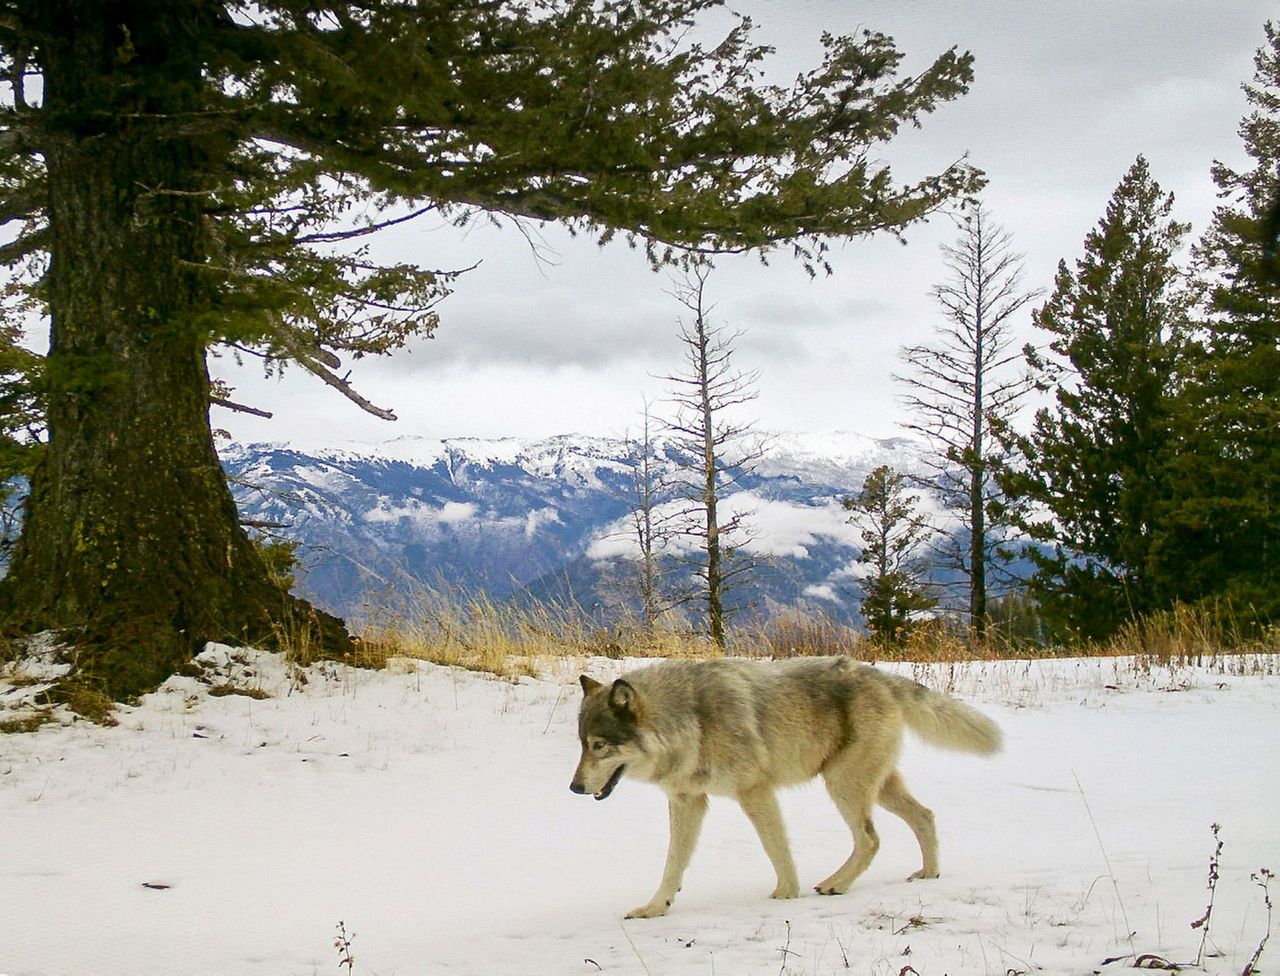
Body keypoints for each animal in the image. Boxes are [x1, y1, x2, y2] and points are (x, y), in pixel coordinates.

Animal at [569, 656, 1001, 918]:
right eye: (582, 745)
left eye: (600, 746)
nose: (573, 788)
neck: (691, 720)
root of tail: (878, 674)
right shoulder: (687, 800)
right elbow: (673, 862)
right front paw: (655, 908)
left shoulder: (755, 791)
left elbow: (775, 847)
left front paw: (786, 895)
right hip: (876, 787)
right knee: (924, 816)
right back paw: (929, 873)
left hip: (843, 785)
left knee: (870, 838)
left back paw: (835, 884)